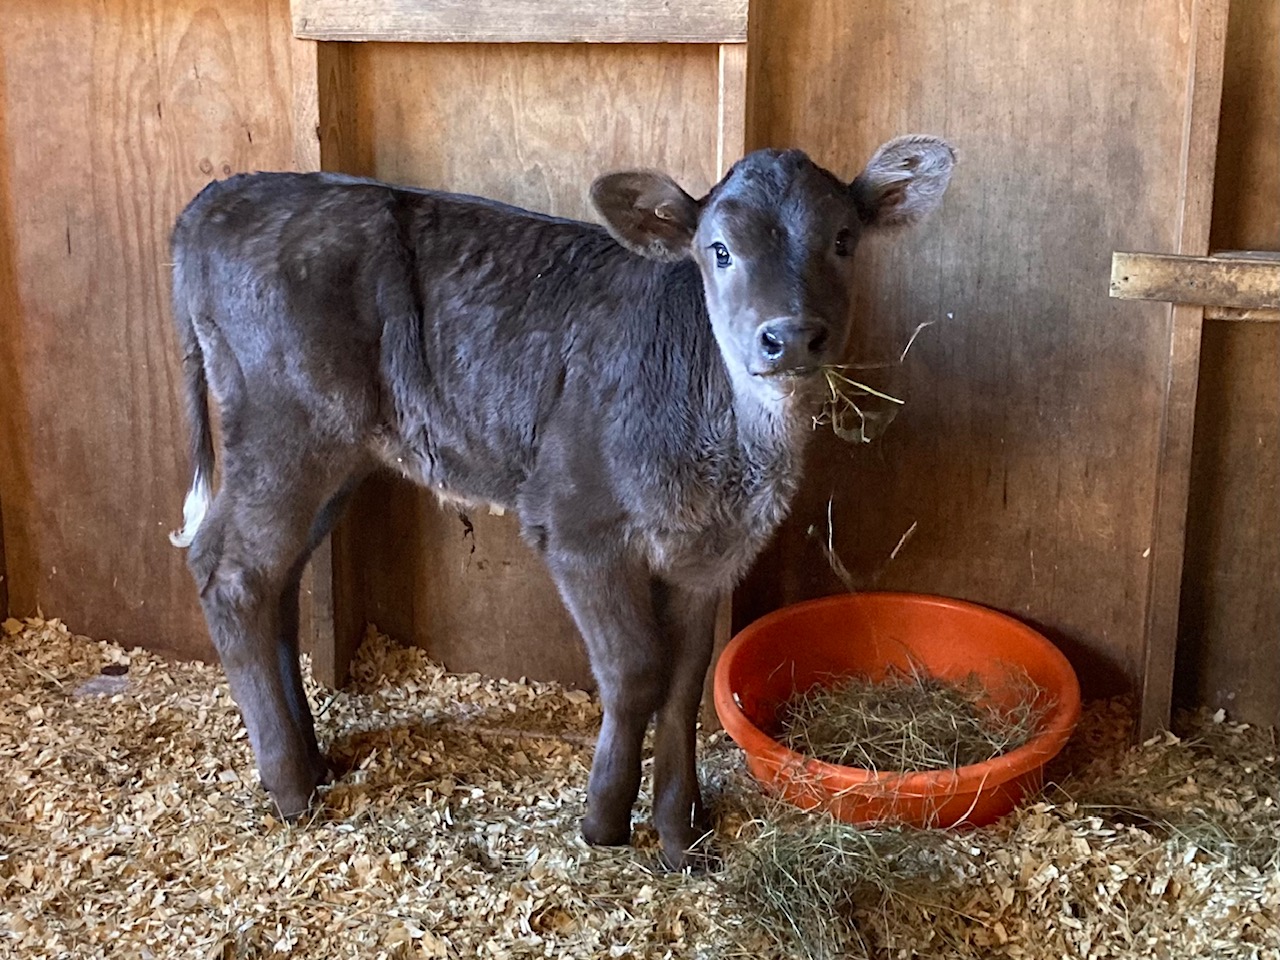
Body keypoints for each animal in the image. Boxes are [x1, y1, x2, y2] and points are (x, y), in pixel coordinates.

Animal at [167, 136, 955, 869]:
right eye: (719, 250)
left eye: (843, 240)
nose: (789, 336)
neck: (728, 451)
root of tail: (223, 195)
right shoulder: (578, 525)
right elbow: (636, 671)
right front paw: (605, 818)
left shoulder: (707, 556)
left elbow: (684, 683)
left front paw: (680, 833)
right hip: (285, 428)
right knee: (231, 574)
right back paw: (291, 783)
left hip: (335, 458)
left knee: (280, 580)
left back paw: (311, 756)